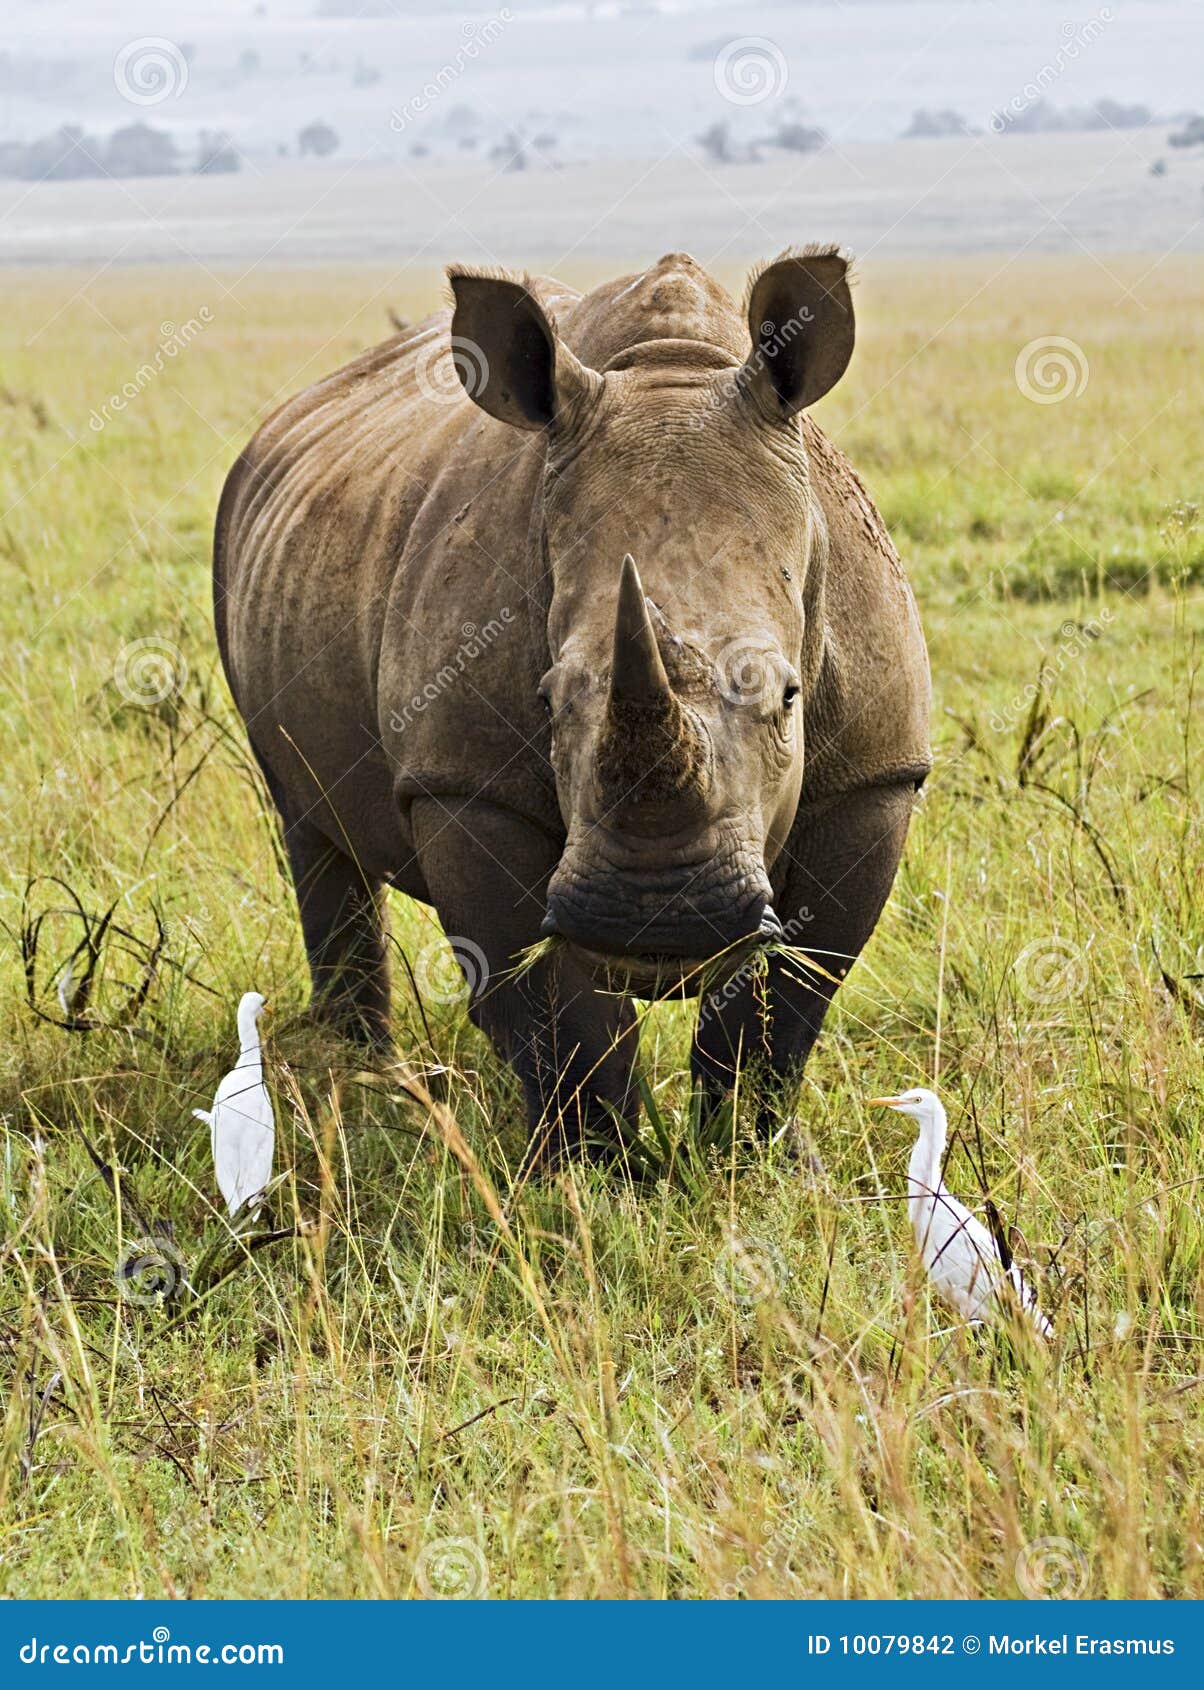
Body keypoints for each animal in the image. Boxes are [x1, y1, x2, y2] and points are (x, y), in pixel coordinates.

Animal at [214, 248, 930, 1161]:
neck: (669, 371)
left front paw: (755, 1154)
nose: (659, 921)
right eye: (549, 701)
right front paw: (595, 1171)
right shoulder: (464, 783)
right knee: (307, 822)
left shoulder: (875, 773)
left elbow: (788, 999)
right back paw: (364, 1073)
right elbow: (558, 1014)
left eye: (788, 698)